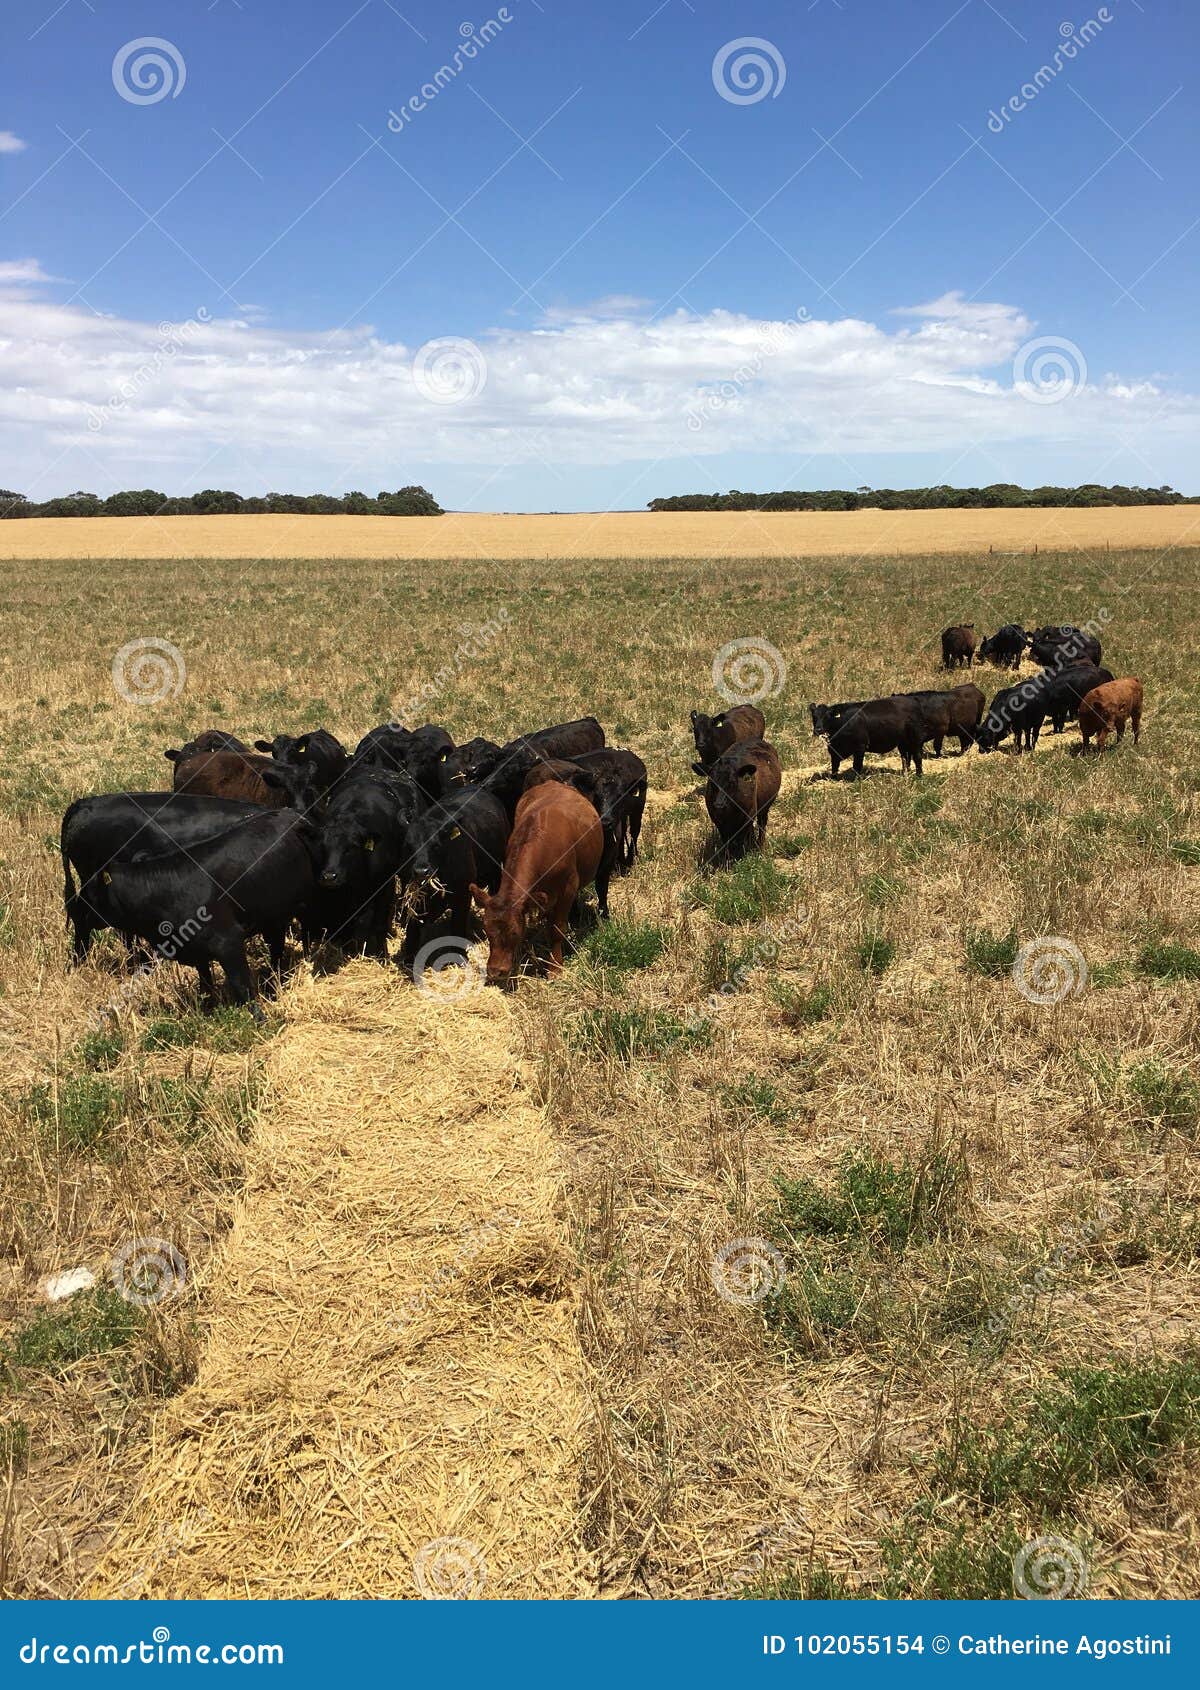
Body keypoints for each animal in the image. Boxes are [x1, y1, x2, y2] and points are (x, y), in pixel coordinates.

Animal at [73, 809, 320, 1011]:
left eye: (87, 898)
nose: (79, 919)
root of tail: (290, 814)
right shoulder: (197, 951)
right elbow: (205, 984)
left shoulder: (228, 941)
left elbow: (242, 986)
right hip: (273, 915)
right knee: (277, 947)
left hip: (307, 903)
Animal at [401, 784, 510, 965]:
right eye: (409, 845)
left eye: (436, 845)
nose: (421, 872)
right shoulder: (417, 895)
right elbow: (413, 926)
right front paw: (408, 955)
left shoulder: (463, 894)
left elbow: (458, 924)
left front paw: (459, 955)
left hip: (497, 868)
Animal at [470, 783, 603, 987]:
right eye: (486, 931)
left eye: (514, 933)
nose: (495, 971)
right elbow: (550, 926)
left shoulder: (568, 889)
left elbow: (557, 929)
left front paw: (555, 967)